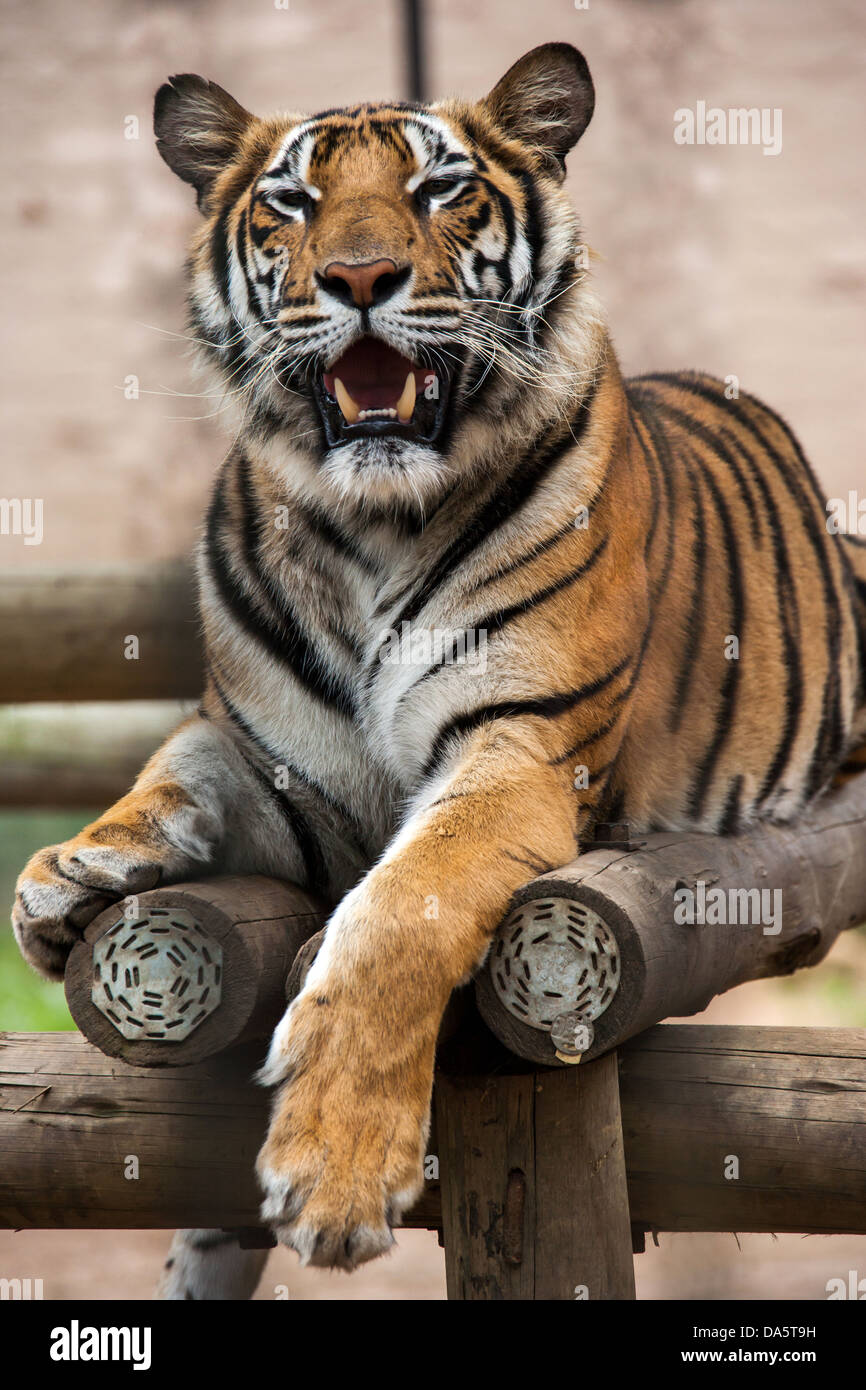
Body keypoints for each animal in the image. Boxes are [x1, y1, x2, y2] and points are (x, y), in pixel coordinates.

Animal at [12, 42, 866, 1297]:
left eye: (438, 190)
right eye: (291, 202)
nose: (359, 276)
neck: (364, 529)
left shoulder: (515, 750)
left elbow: (393, 920)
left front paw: (332, 1175)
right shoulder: (281, 773)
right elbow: (176, 770)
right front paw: (70, 869)